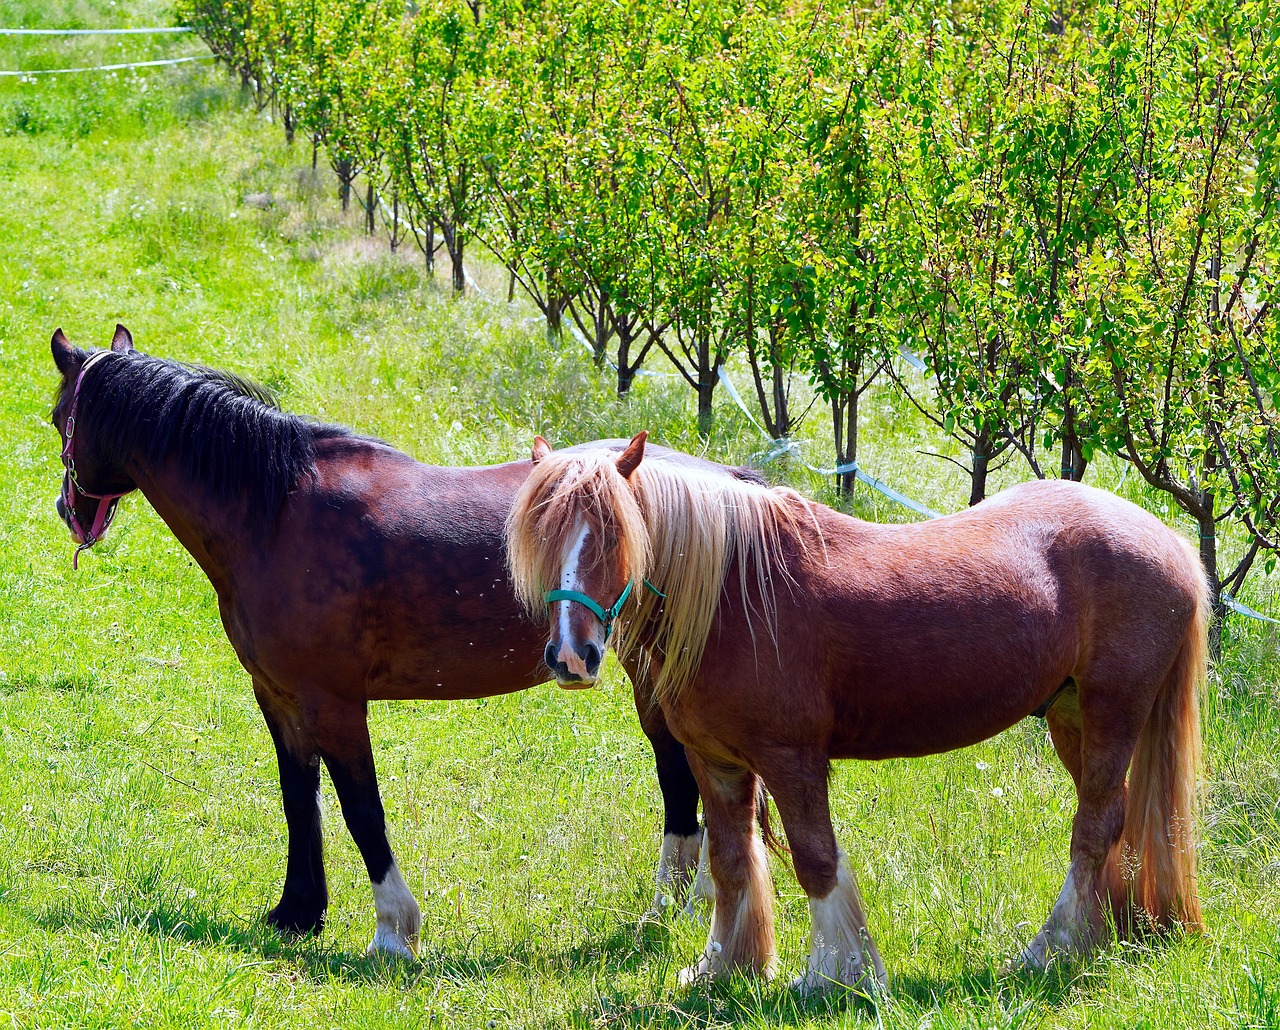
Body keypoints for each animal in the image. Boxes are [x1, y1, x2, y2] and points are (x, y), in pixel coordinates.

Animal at [48, 326, 743, 957]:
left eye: (59, 419)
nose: (67, 511)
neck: (275, 515)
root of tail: (726, 483)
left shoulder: (334, 703)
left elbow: (361, 810)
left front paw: (393, 930)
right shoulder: (279, 697)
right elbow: (299, 798)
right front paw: (298, 911)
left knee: (689, 778)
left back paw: (679, 910)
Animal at [505, 431, 1207, 993]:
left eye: (614, 533)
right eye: (542, 535)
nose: (571, 656)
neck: (736, 594)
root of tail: (1169, 541)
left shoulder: (791, 760)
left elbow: (816, 860)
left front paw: (834, 974)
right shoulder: (717, 763)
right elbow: (731, 863)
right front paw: (723, 966)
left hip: (1113, 711)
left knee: (1093, 827)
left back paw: (1051, 949)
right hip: (1072, 719)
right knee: (1114, 818)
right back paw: (1110, 933)